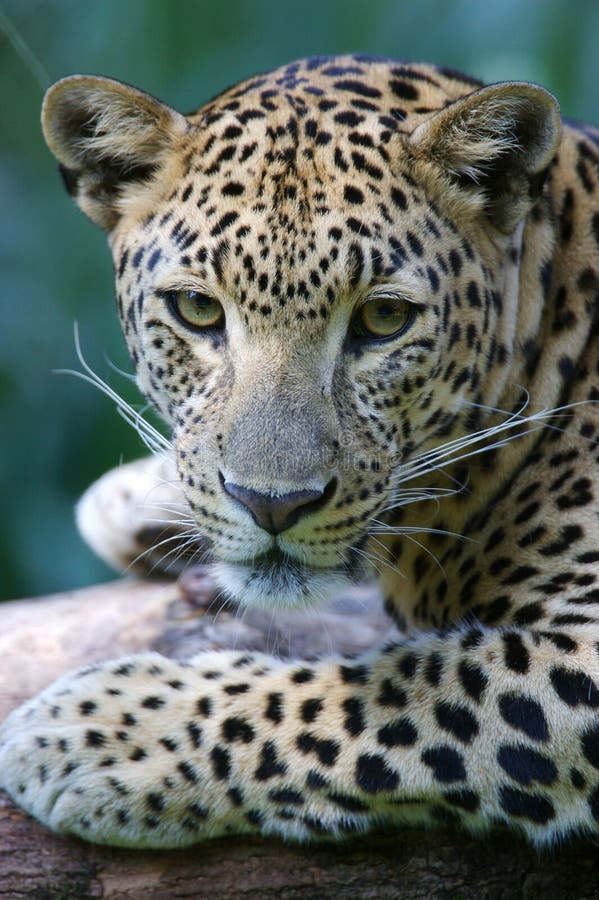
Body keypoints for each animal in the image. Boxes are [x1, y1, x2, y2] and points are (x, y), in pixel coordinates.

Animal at [1, 54, 598, 849]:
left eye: (384, 319)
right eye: (197, 309)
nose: (271, 506)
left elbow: (394, 695)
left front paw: (107, 733)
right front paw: (142, 498)